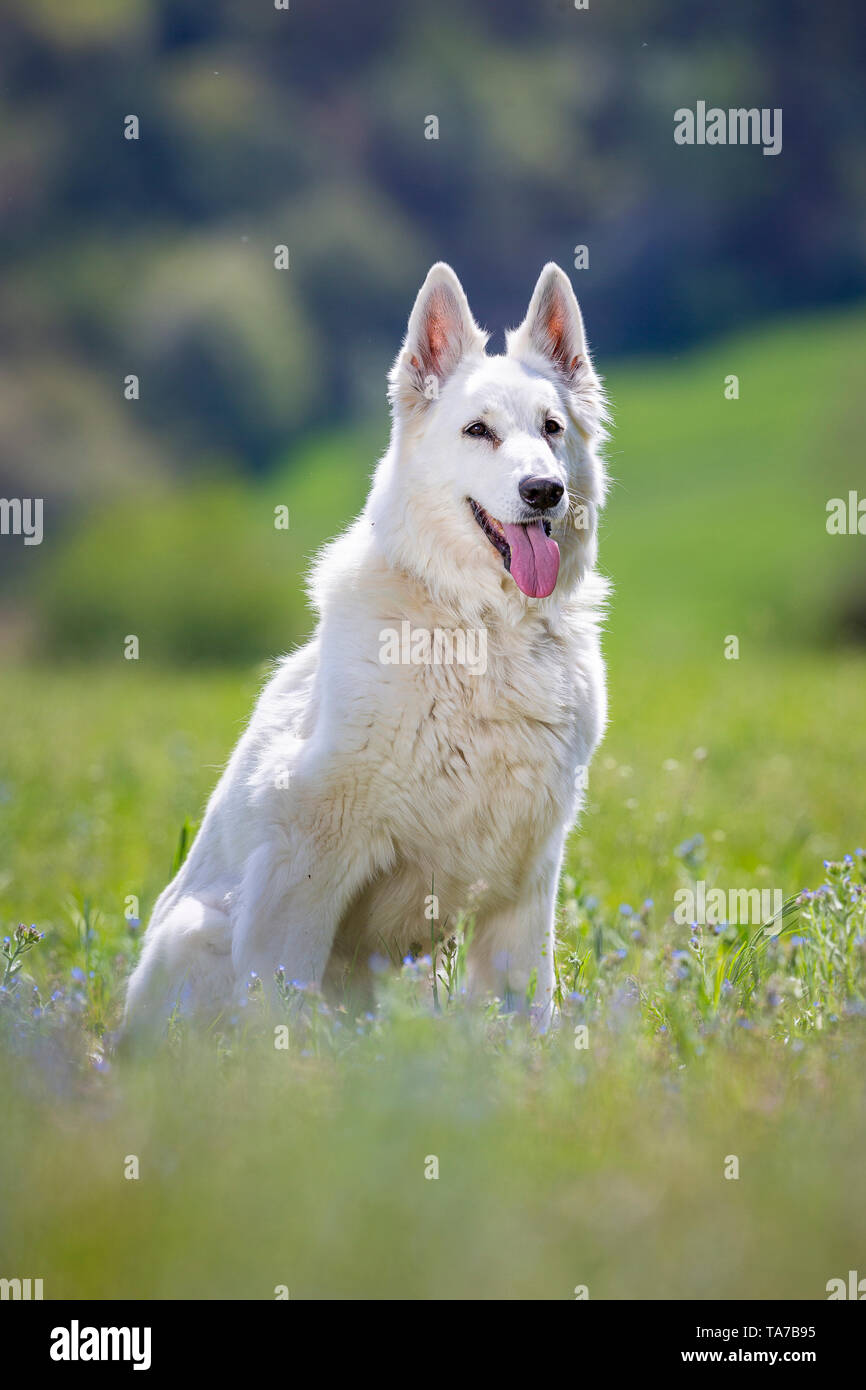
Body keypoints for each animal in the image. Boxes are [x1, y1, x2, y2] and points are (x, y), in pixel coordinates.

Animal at [123, 265, 608, 1039]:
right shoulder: (305, 852)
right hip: (202, 929)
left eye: (551, 429)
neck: (480, 628)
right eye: (479, 430)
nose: (545, 490)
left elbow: (525, 1003)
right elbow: (281, 997)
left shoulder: (528, 878)